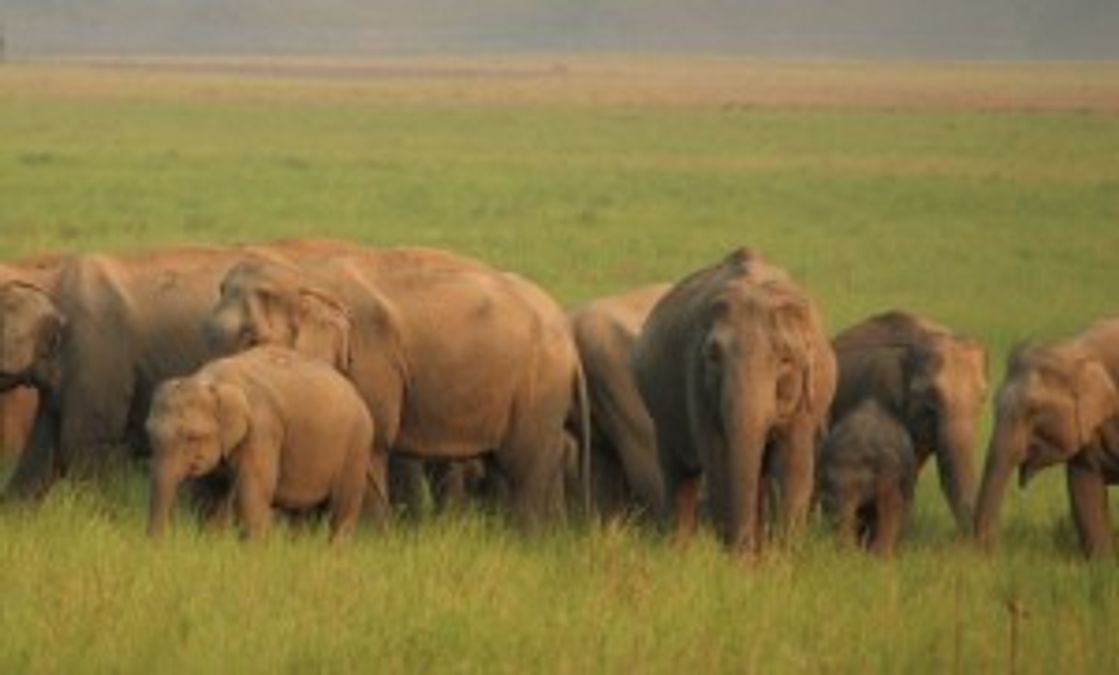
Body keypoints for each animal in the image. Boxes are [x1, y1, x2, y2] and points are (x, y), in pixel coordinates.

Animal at [147, 345, 376, 540]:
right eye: (149, 434)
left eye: (192, 437)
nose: (160, 542)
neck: (215, 381)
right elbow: (211, 497)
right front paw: (210, 542)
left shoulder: (262, 429)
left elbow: (253, 494)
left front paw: (253, 552)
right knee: (301, 514)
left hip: (357, 445)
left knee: (343, 509)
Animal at [204, 247, 588, 529]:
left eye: (252, 339)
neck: (305, 275)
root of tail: (564, 327)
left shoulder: (372, 360)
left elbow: (373, 439)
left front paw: (372, 539)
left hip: (540, 385)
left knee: (525, 464)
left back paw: (527, 539)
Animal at [631, 247, 837, 553]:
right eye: (714, 356)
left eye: (786, 360)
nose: (742, 548)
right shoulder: (697, 379)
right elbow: (717, 455)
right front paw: (737, 558)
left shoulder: (807, 398)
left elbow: (793, 462)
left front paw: (782, 556)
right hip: (661, 415)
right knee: (679, 473)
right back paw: (678, 550)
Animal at [974, 318, 1119, 558]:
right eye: (993, 402)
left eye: (1033, 410)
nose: (995, 550)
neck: (1077, 349)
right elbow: (1084, 488)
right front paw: (1103, 561)